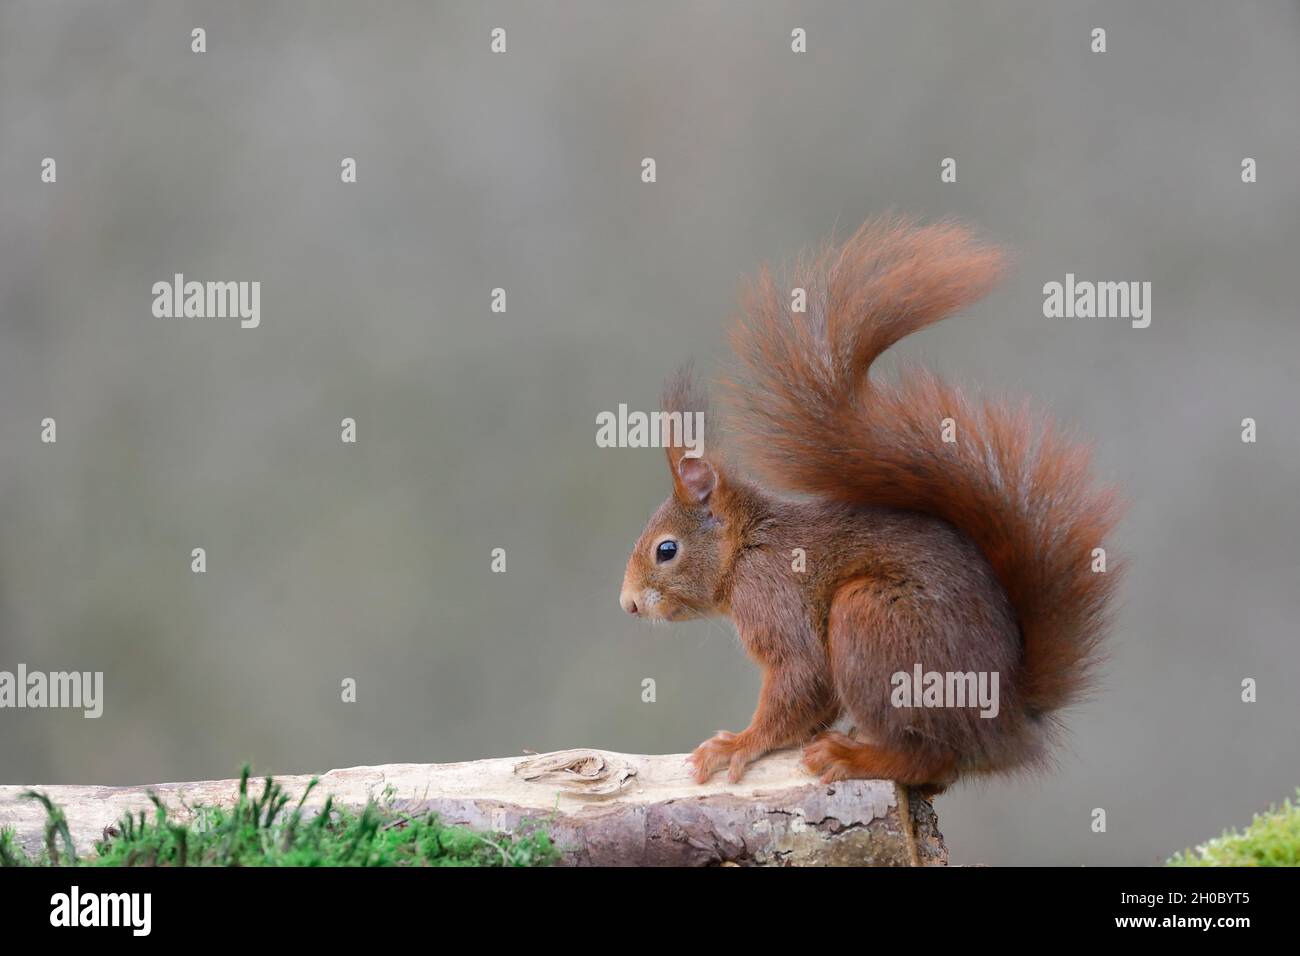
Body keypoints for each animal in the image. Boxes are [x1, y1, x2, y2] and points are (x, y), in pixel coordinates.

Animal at [619, 217, 1124, 795]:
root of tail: (1009, 725)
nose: (628, 604)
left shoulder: (773, 596)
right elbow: (811, 707)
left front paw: (737, 744)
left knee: (928, 757)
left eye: (666, 550)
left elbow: (801, 676)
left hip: (872, 622)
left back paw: (855, 756)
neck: (746, 546)